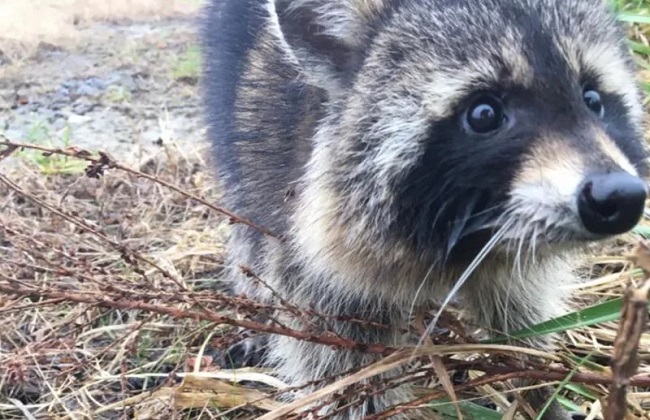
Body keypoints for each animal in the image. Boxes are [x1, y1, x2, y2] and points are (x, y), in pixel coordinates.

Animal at [200, 0, 649, 418]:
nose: (620, 196)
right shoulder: (304, 240)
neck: (468, 237)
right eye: (483, 113)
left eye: (593, 99)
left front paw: (540, 393)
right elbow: (343, 367)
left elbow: (522, 318)